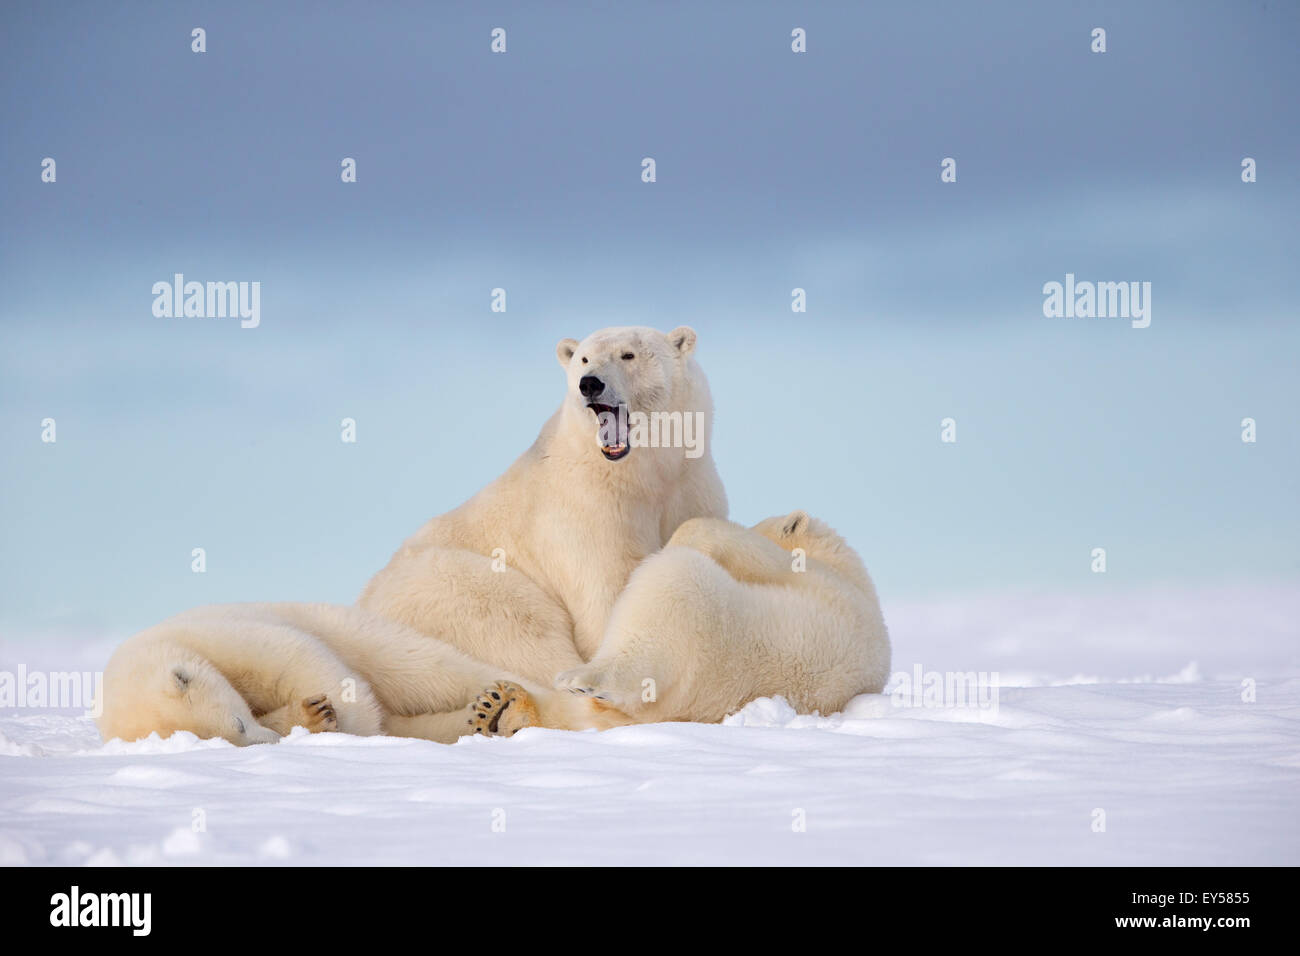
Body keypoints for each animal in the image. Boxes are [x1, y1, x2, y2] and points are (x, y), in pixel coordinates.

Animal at [98, 601, 634, 746]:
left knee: (424, 669)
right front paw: (309, 719)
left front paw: (328, 714)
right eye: (234, 738)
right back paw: (484, 718)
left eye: (236, 723)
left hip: (361, 632)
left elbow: (298, 658)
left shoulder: (220, 635)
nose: (270, 745)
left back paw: (507, 705)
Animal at [359, 325, 728, 684]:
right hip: (449, 587)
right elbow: (606, 589)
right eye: (583, 358)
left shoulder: (690, 486)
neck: (641, 474)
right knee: (517, 625)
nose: (589, 384)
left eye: (628, 354)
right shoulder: (588, 508)